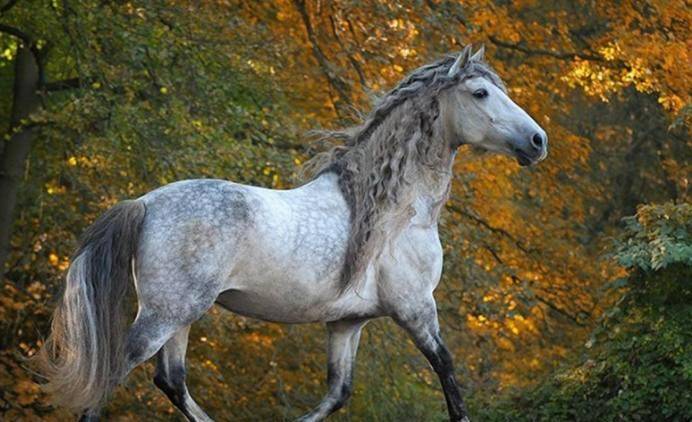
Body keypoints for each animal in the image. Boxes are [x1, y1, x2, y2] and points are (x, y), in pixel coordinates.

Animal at [36, 45, 547, 422]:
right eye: (480, 93)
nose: (538, 141)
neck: (394, 211)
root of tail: (145, 203)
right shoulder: (416, 308)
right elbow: (447, 373)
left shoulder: (347, 322)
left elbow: (338, 393)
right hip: (166, 312)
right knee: (117, 373)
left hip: (180, 314)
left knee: (171, 380)